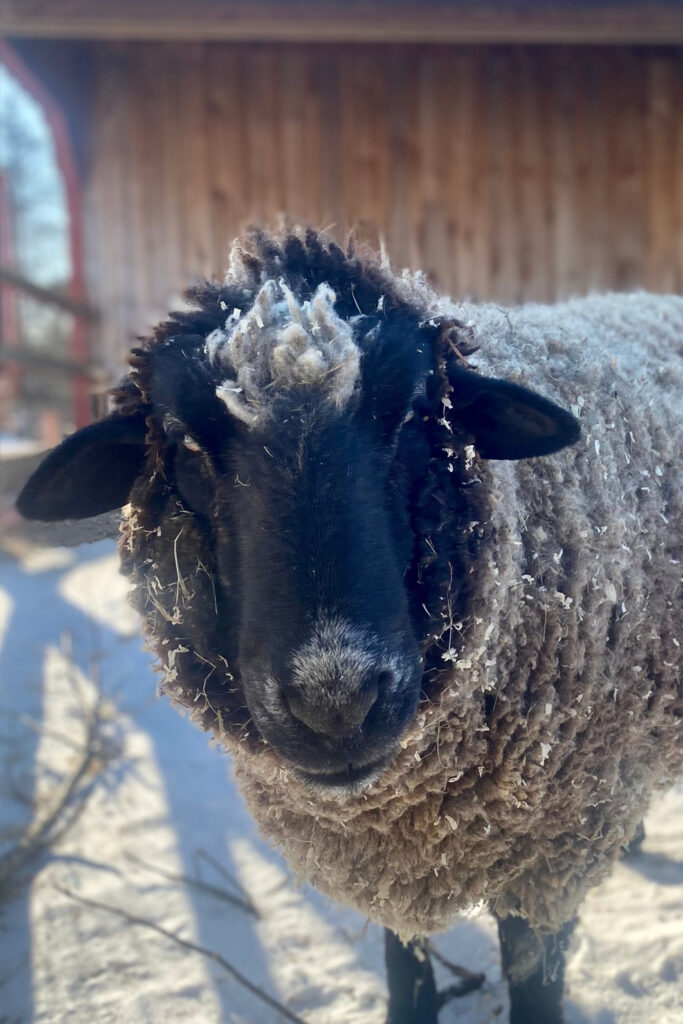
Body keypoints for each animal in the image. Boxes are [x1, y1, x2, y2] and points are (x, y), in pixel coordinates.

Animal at [18, 228, 682, 1024]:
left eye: (415, 413)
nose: (334, 704)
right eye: (182, 442)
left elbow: (533, 983)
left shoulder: (548, 853)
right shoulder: (388, 861)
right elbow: (404, 966)